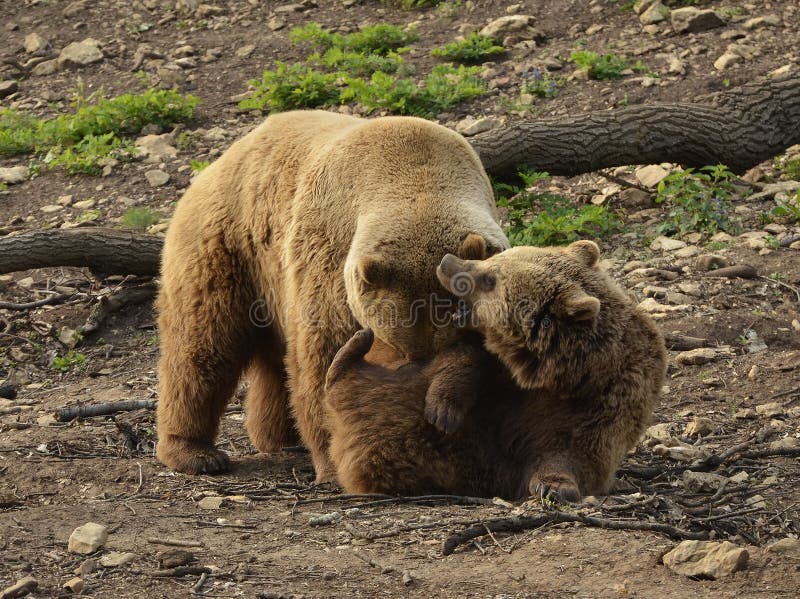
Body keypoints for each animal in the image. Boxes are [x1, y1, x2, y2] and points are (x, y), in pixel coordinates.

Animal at [155, 110, 508, 480]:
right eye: (398, 343)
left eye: (446, 339)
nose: (415, 373)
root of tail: (219, 162)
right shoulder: (329, 252)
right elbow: (326, 350)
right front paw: (336, 457)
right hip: (229, 249)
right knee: (203, 345)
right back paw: (194, 450)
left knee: (274, 362)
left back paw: (279, 437)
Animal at [324, 241, 667, 501]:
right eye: (496, 258)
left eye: (490, 278)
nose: (447, 262)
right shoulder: (493, 368)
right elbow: (463, 361)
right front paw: (443, 410)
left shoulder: (608, 397)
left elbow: (574, 450)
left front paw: (553, 485)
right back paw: (355, 346)